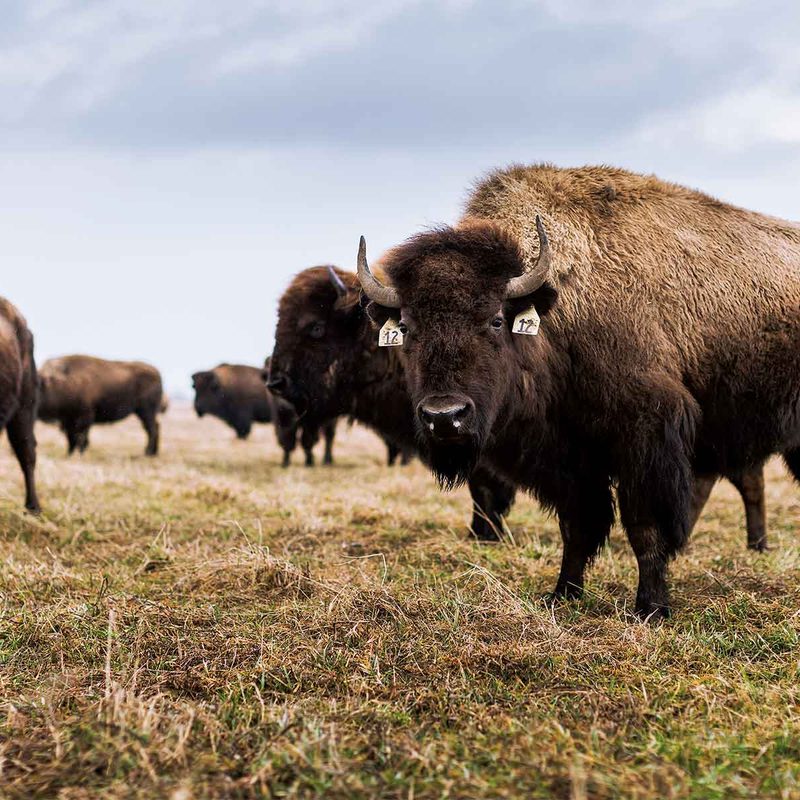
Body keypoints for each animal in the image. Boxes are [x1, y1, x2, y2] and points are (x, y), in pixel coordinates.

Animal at [38, 355, 167, 456]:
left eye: (38, 386)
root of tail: (157, 373)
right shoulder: (67, 420)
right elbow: (71, 438)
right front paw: (69, 454)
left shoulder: (84, 417)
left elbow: (81, 437)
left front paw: (80, 453)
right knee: (155, 427)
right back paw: (153, 453)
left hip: (146, 411)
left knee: (151, 429)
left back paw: (148, 452)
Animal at [358, 164, 800, 619]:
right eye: (406, 327)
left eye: (496, 319)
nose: (445, 416)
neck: (559, 316)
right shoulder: (566, 459)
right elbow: (577, 527)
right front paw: (563, 594)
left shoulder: (647, 440)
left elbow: (644, 527)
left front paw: (651, 607)